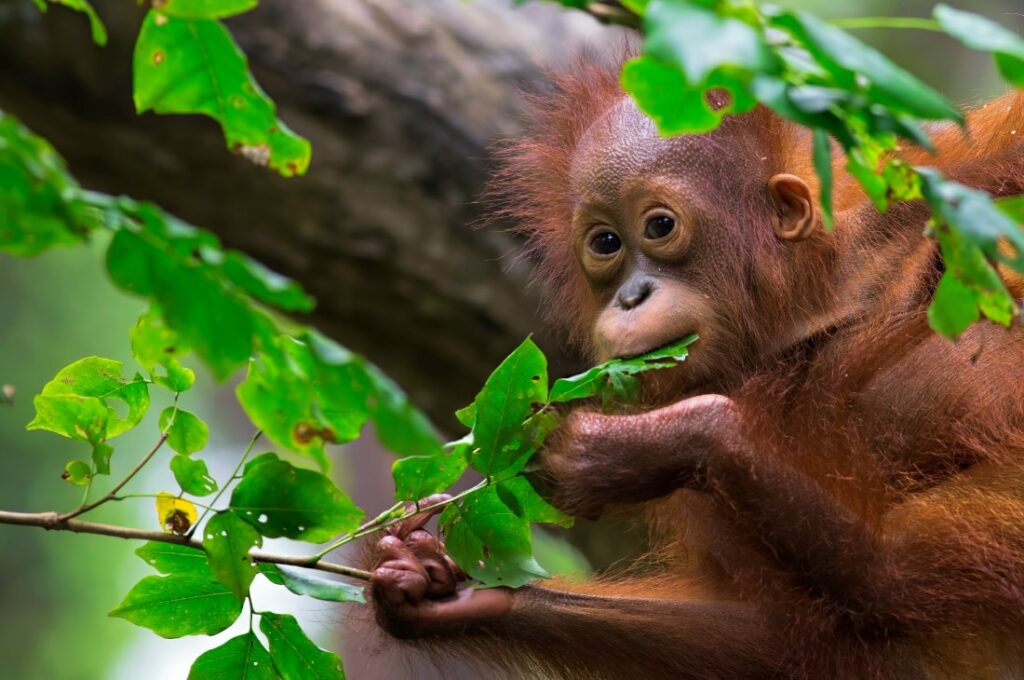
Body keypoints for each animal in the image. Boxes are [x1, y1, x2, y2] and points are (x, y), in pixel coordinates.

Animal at [367, 60, 1024, 679]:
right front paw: (446, 590)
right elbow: (777, 638)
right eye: (605, 243)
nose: (631, 297)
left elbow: (908, 573)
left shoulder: (956, 180)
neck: (807, 315)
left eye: (659, 226)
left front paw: (631, 449)